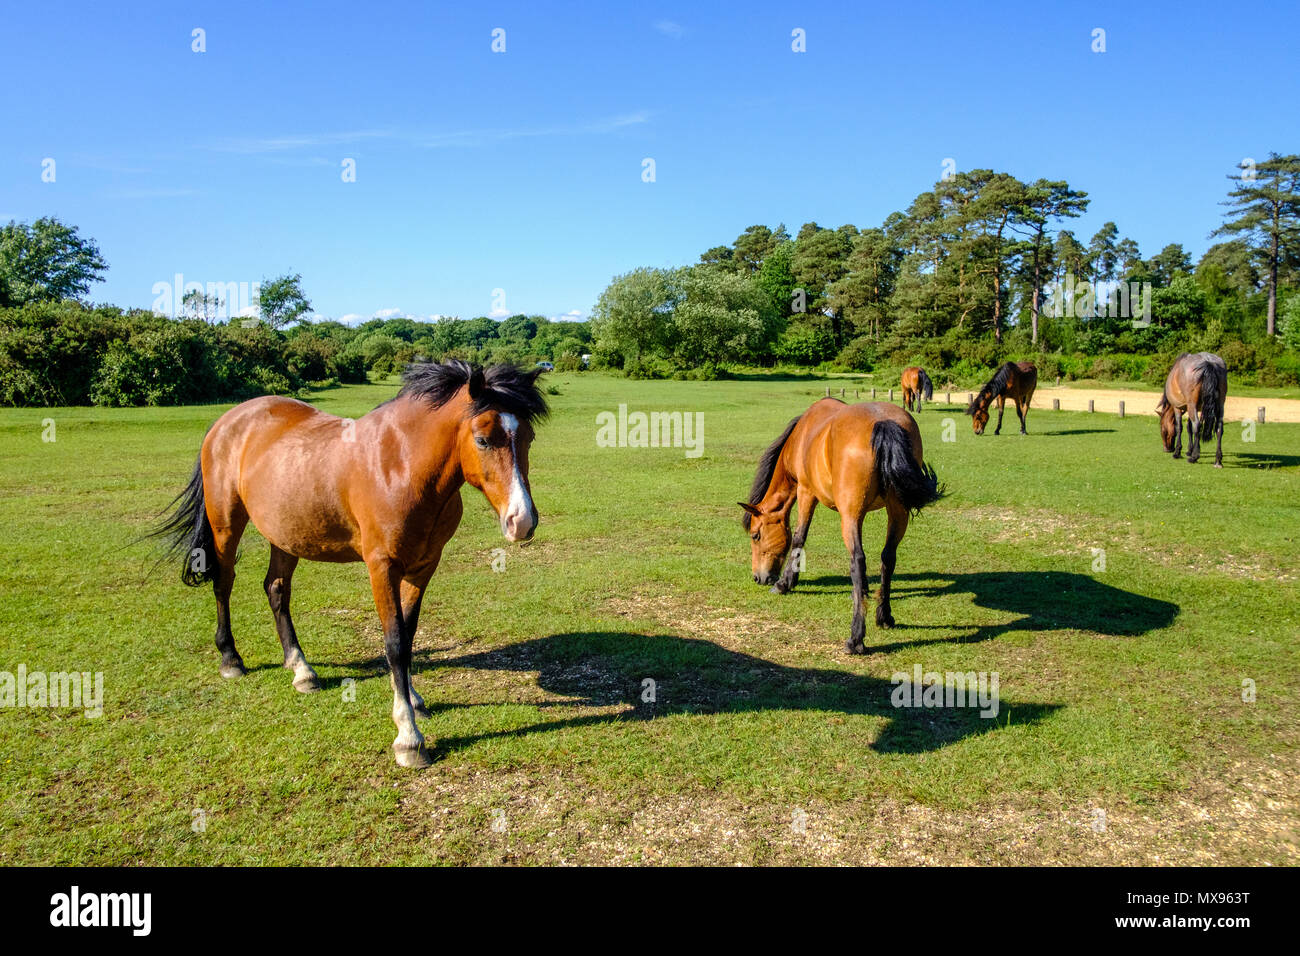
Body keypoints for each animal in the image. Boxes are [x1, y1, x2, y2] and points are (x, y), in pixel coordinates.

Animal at [151, 360, 547, 768]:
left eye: (529, 437)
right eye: (483, 440)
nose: (523, 521)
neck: (400, 466)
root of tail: (227, 421)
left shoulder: (423, 566)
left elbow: (409, 635)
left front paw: (414, 700)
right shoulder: (381, 567)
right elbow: (394, 643)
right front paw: (408, 736)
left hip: (285, 534)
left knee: (276, 590)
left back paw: (301, 669)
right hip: (225, 526)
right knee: (224, 583)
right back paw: (231, 658)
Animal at [739, 399, 943, 654]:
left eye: (755, 535)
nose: (758, 577)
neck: (801, 436)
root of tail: (883, 422)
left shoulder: (806, 492)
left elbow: (799, 538)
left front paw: (785, 583)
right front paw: (862, 593)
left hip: (850, 515)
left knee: (857, 560)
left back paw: (856, 638)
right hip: (897, 512)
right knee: (888, 557)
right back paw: (884, 616)